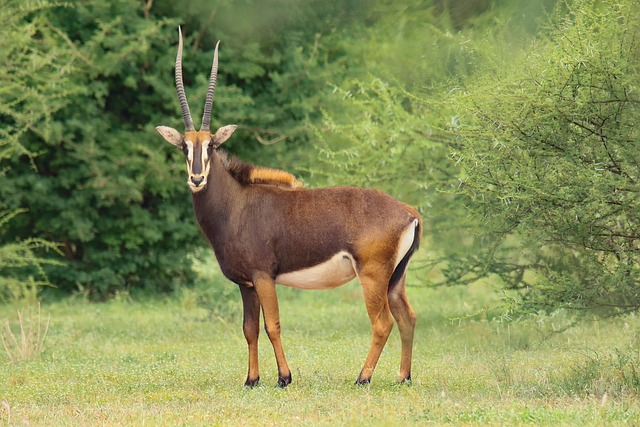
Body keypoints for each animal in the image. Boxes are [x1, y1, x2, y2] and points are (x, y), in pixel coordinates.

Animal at [156, 28, 422, 387]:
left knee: (383, 323)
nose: (197, 178)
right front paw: (251, 380)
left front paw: (284, 377)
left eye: (211, 145)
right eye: (184, 147)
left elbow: (273, 325)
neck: (236, 205)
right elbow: (249, 329)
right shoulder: (246, 284)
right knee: (407, 317)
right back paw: (403, 377)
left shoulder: (263, 276)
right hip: (396, 279)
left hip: (373, 276)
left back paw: (362, 378)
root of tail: (409, 212)